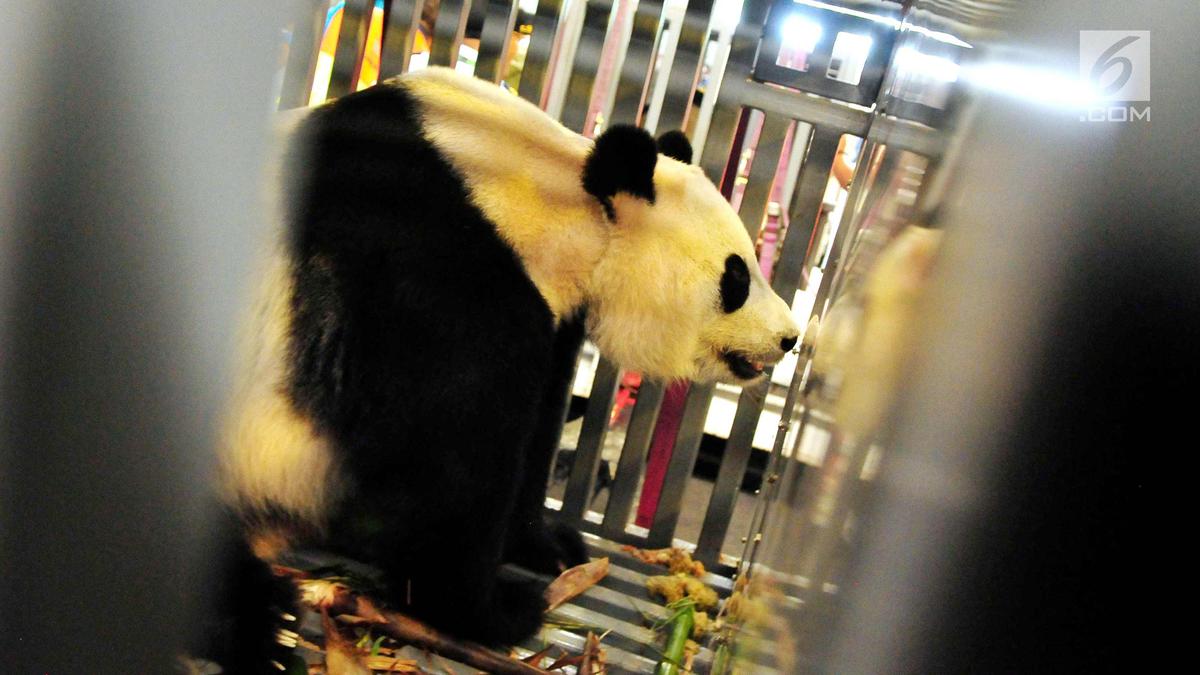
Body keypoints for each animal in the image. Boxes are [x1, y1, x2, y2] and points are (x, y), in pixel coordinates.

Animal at [204, 66, 800, 671]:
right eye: (736, 276)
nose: (790, 337)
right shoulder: (431, 280)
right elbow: (451, 465)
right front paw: (489, 611)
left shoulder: (547, 309)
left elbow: (532, 436)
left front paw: (550, 547)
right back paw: (267, 628)